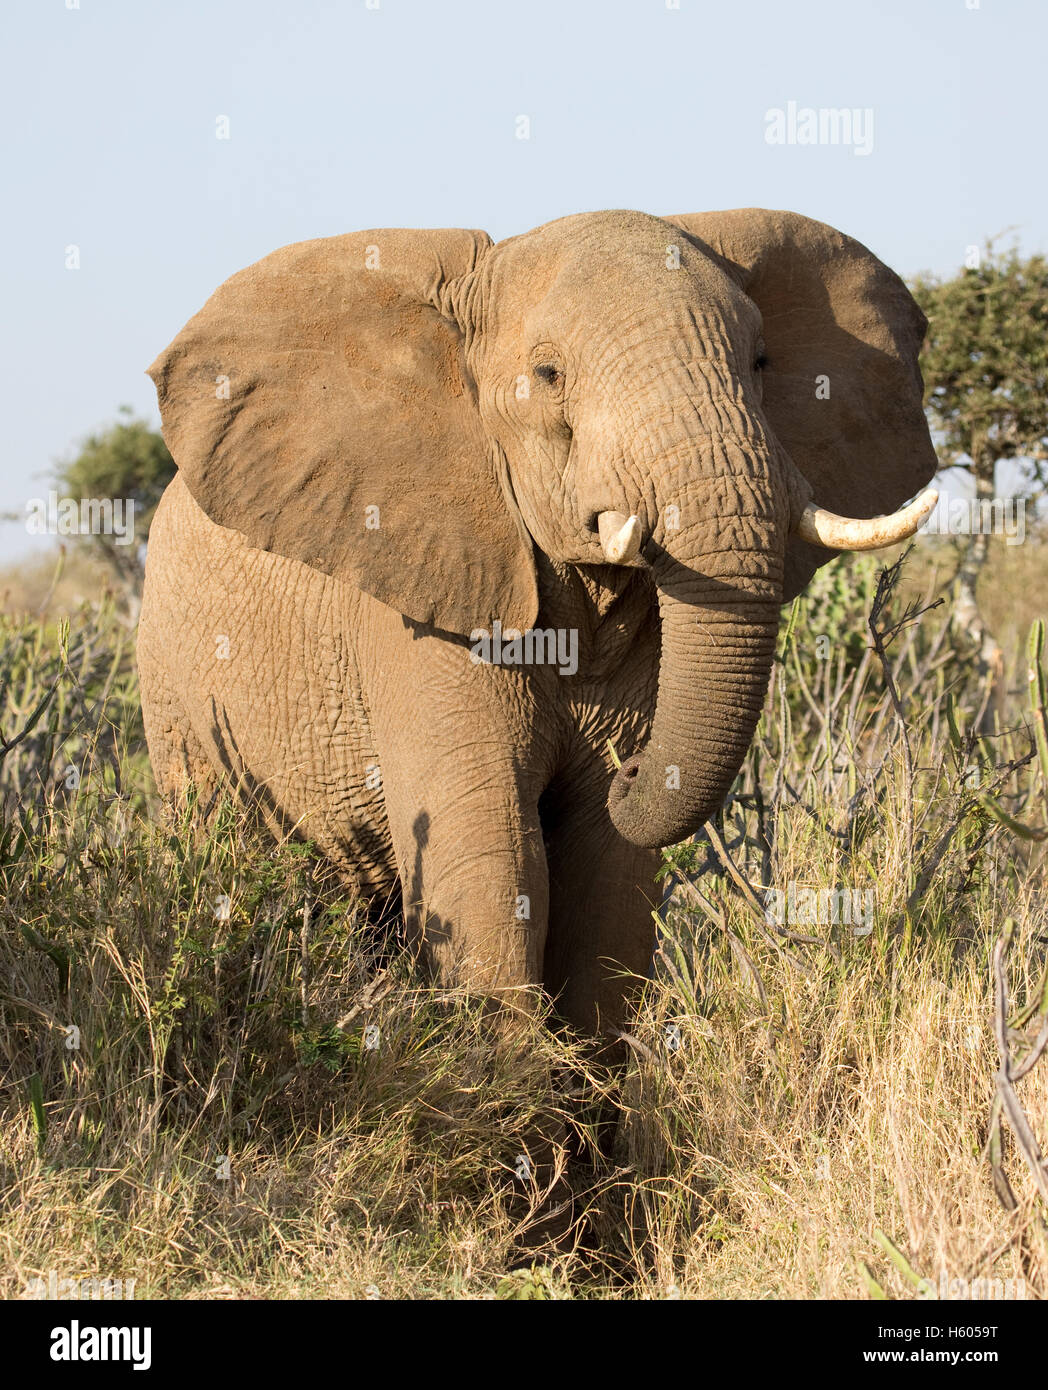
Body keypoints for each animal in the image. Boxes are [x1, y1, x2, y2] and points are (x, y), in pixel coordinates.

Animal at [138, 208, 938, 1039]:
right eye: (549, 375)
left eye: (759, 360)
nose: (634, 767)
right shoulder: (420, 608)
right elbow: (490, 856)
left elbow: (609, 879)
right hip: (176, 704)